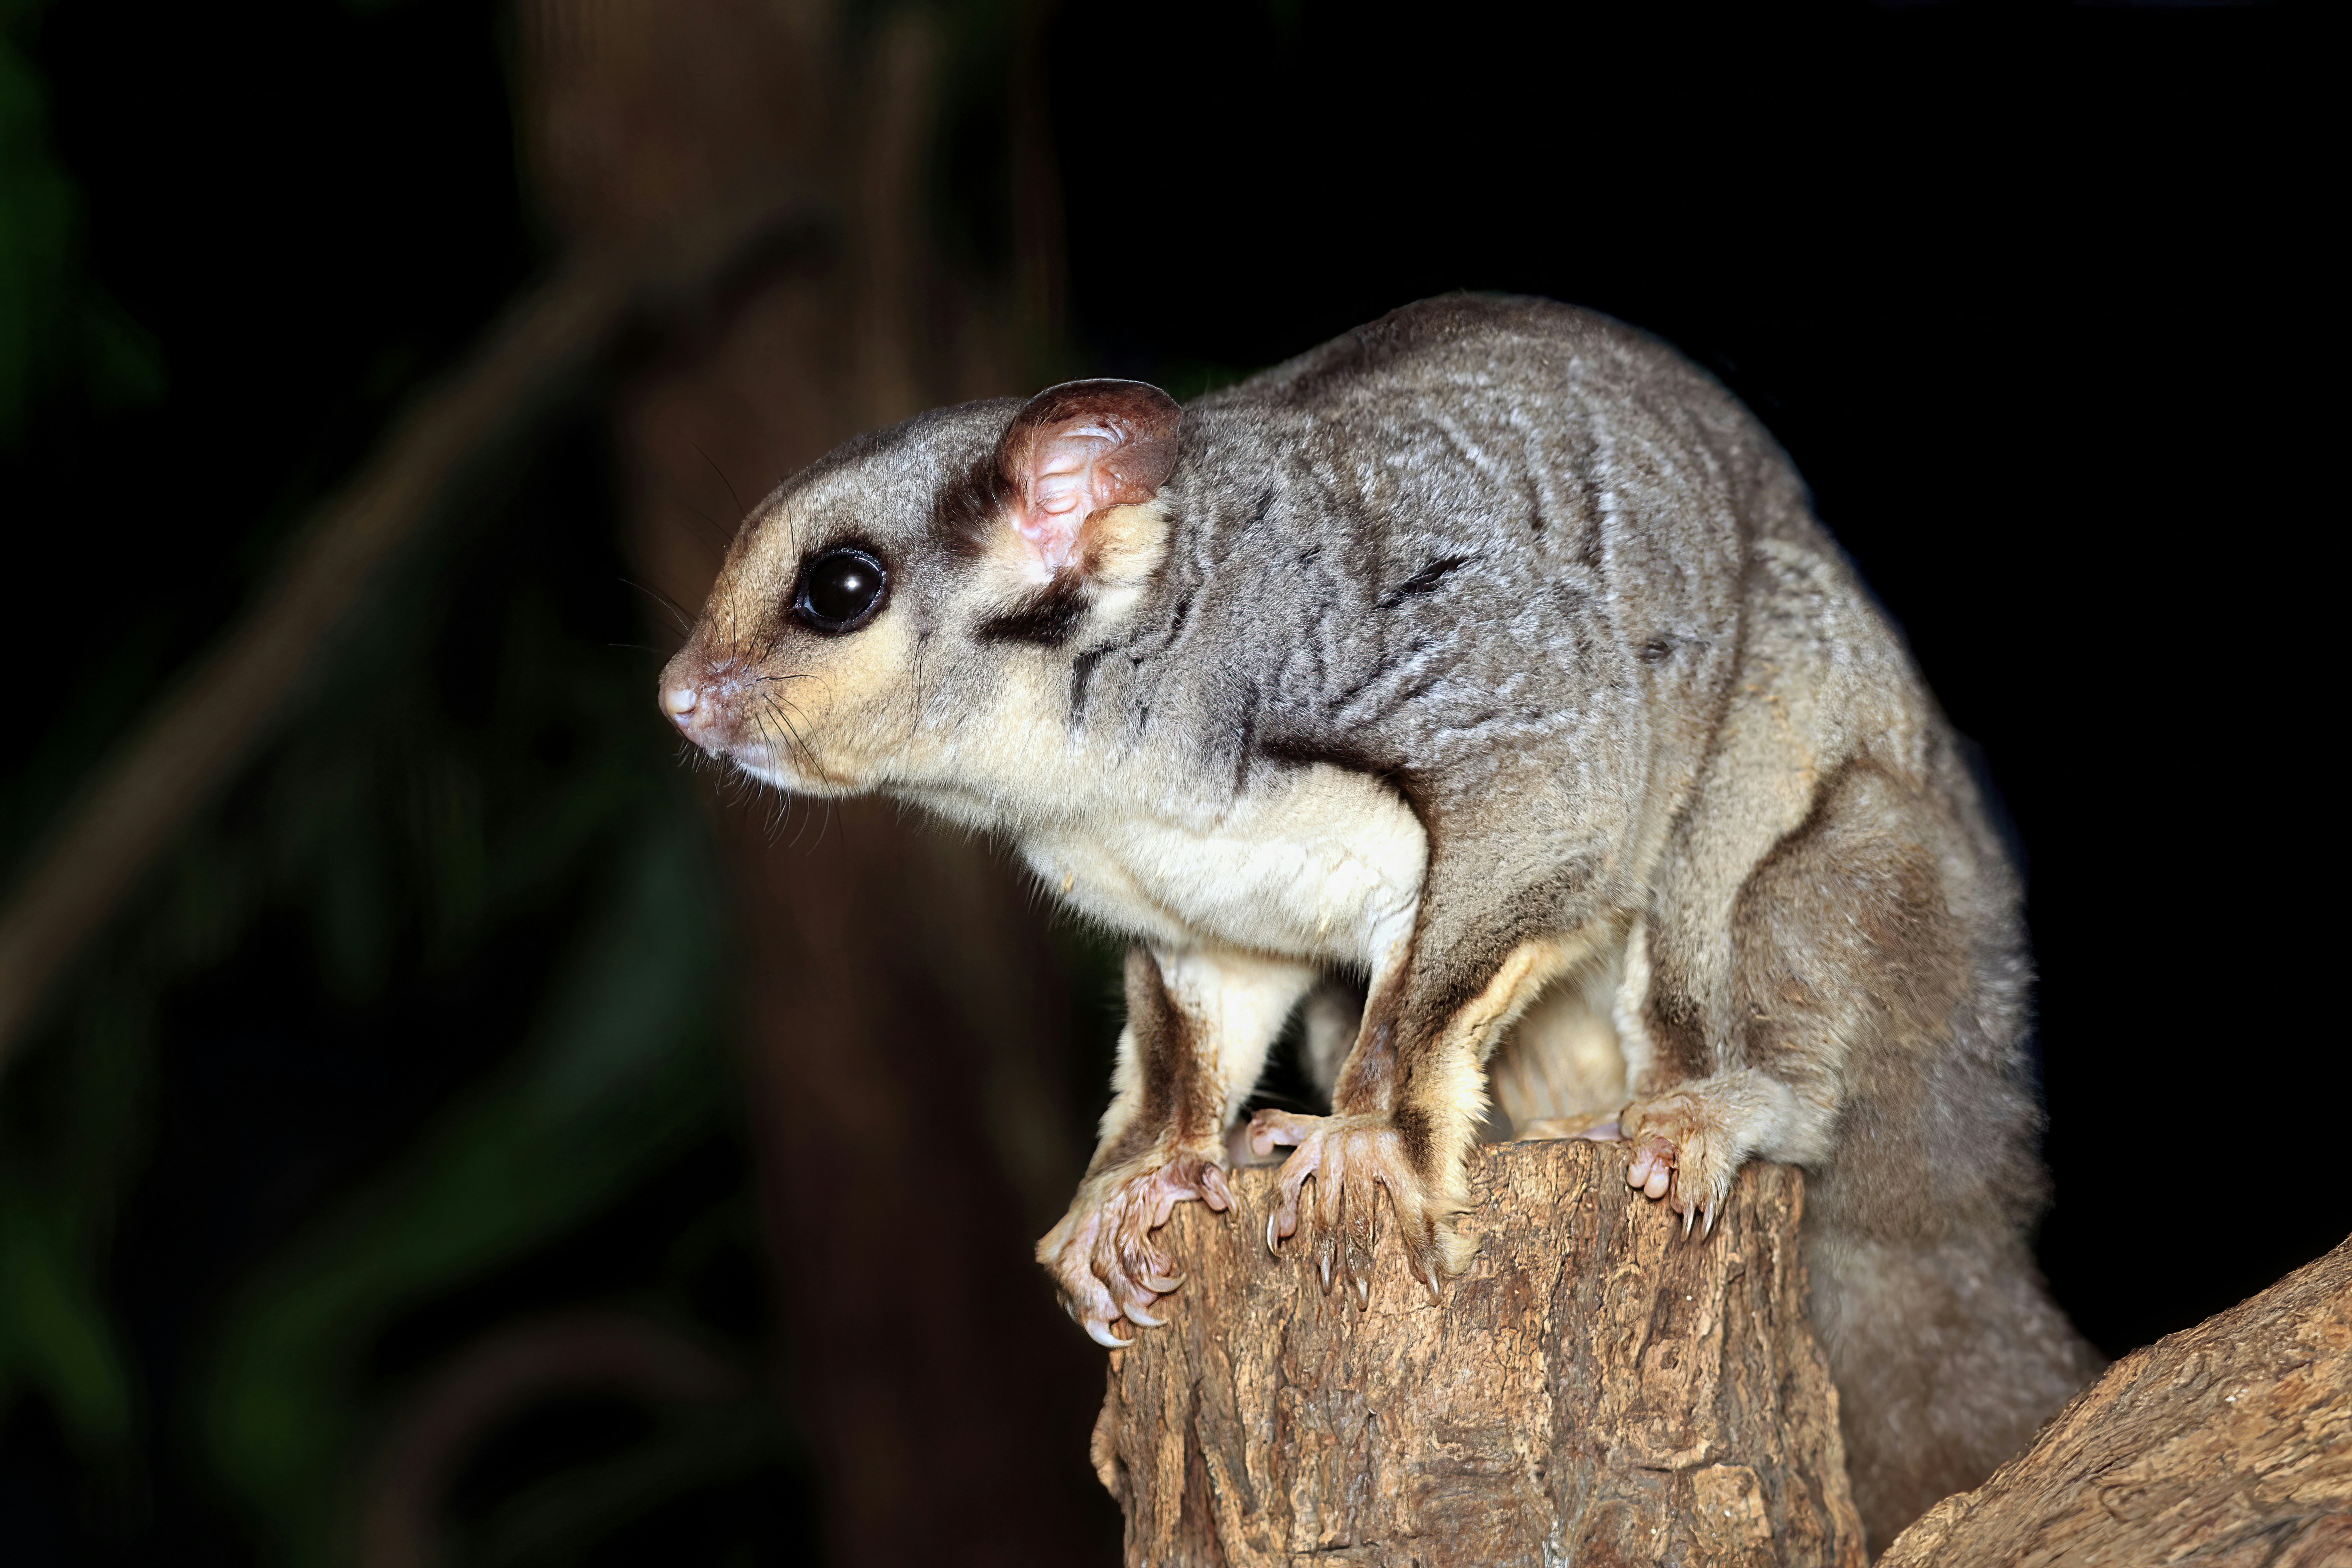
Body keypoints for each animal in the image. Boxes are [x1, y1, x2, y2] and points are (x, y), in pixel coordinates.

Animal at [658, 296, 2103, 1546]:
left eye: (838, 589)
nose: (678, 697)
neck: (1102, 757)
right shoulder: (1186, 905)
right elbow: (1198, 1018)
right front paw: (1136, 1184)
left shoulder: (1450, 681)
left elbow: (1548, 815)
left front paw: (1364, 1138)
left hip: (1867, 844)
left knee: (1733, 872)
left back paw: (1704, 1105)